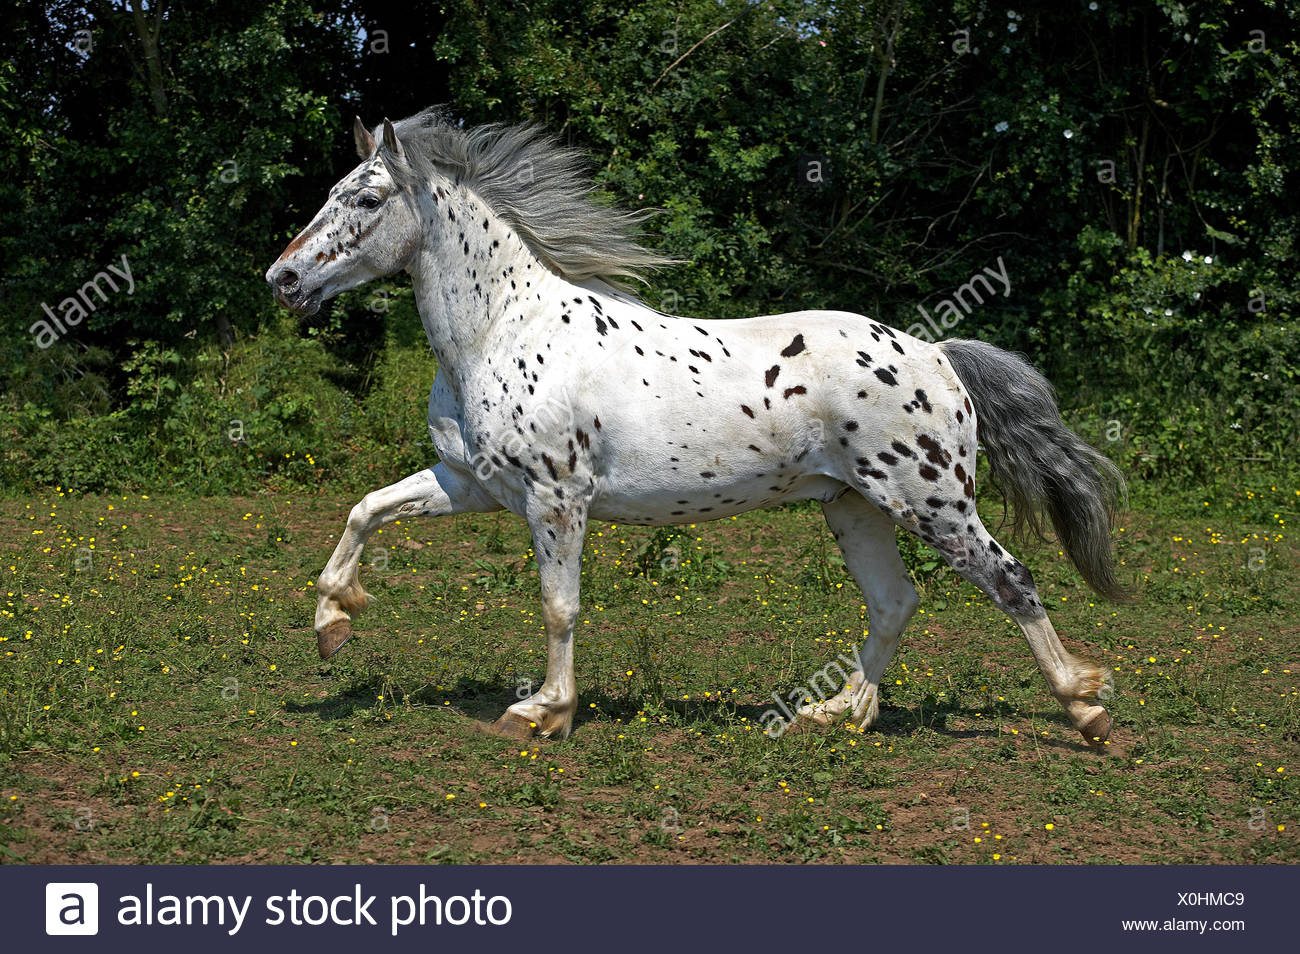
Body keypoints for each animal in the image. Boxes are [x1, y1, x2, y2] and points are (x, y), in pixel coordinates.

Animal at [266, 109, 1127, 747]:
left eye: (367, 199)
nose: (284, 277)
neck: (503, 332)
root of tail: (937, 355)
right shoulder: (472, 483)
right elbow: (367, 510)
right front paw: (333, 623)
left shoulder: (557, 498)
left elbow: (558, 606)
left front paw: (543, 713)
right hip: (854, 507)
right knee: (895, 603)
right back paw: (835, 713)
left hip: (931, 502)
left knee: (1010, 580)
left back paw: (1086, 709)